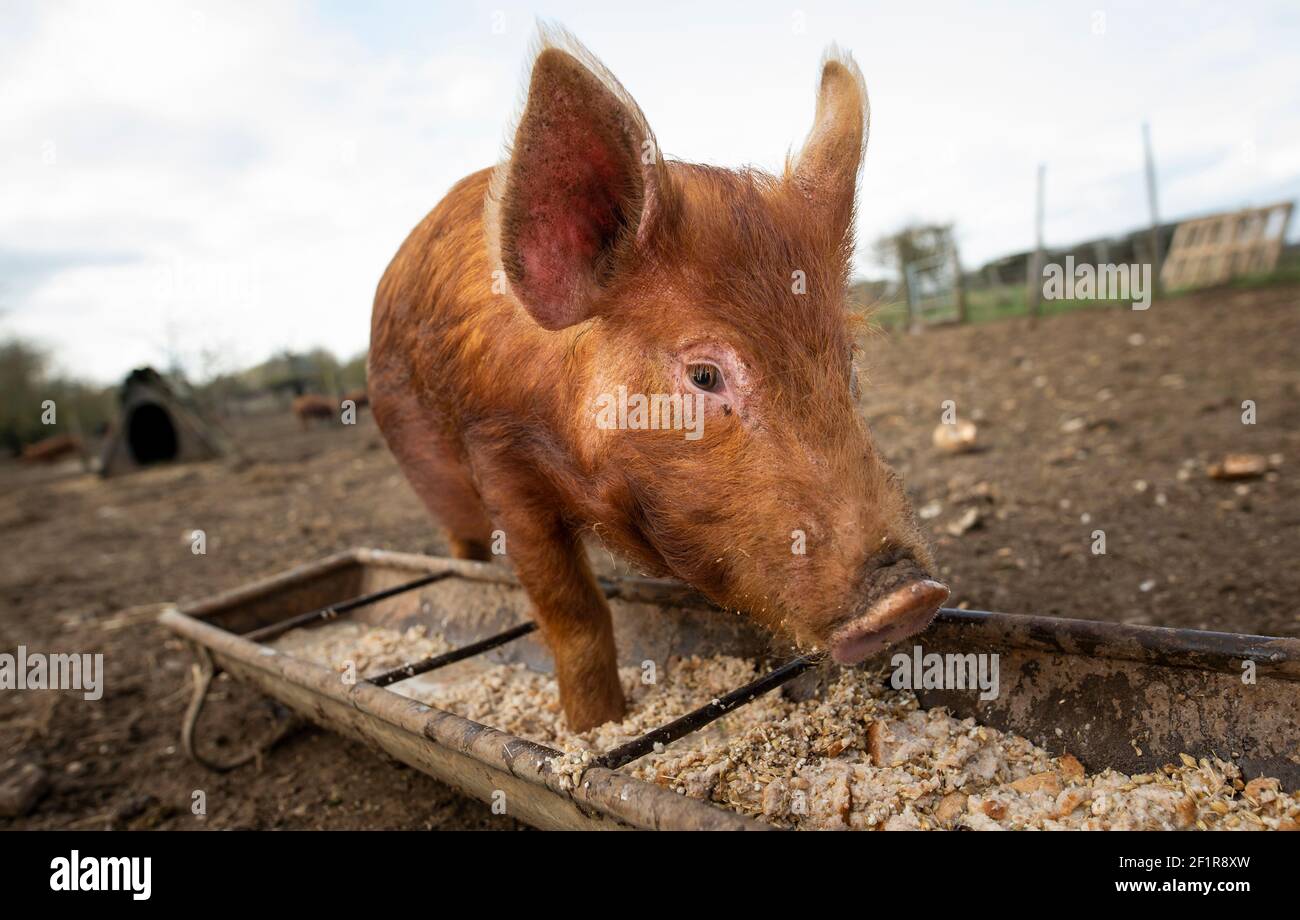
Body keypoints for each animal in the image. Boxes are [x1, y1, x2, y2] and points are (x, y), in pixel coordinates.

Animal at [369, 27, 947, 731]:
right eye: (704, 375)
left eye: (849, 362)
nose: (911, 598)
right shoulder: (497, 451)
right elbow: (574, 614)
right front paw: (594, 728)